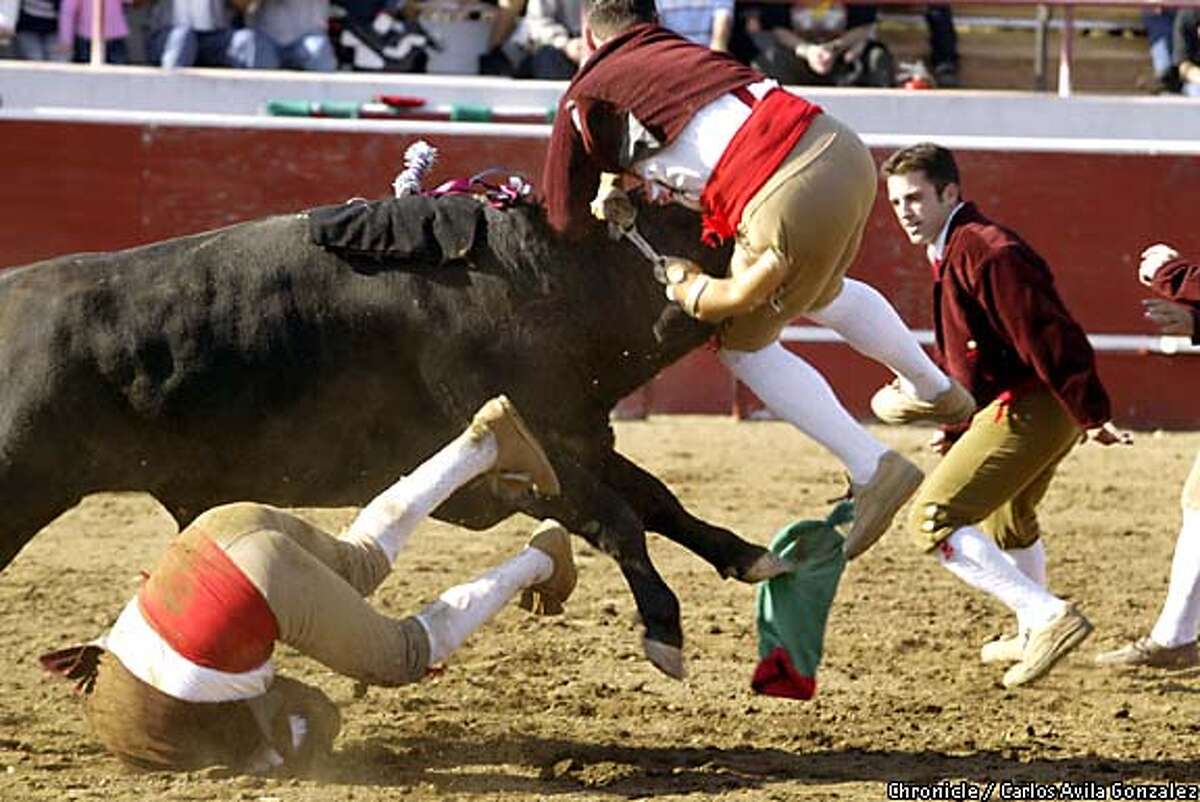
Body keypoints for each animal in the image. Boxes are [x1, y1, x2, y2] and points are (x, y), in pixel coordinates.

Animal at [0, 193, 788, 679]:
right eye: (710, 231)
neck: (541, 287)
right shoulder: (532, 470)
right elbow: (620, 519)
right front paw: (663, 631)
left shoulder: (582, 439)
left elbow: (660, 503)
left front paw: (750, 557)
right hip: (21, 491)